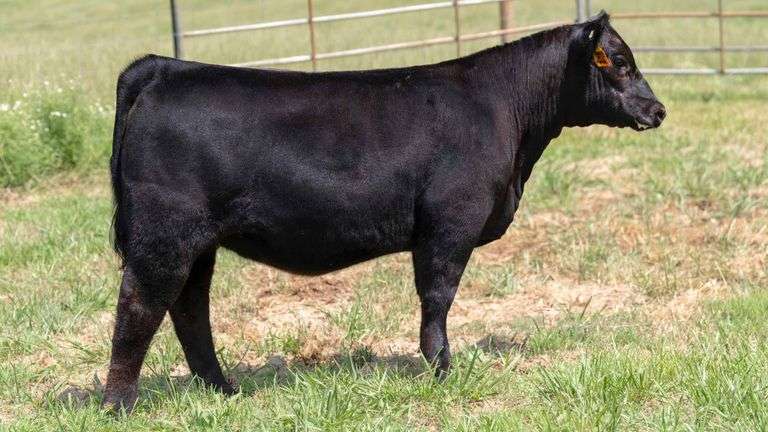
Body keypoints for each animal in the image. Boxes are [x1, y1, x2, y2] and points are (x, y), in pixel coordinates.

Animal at [102, 11, 665, 411]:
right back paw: (119, 405)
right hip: (167, 231)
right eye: (617, 62)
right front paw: (443, 371)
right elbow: (437, 298)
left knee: (189, 308)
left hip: (199, 241)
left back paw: (224, 390)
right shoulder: (450, 224)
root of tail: (165, 68)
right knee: (141, 305)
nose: (657, 110)